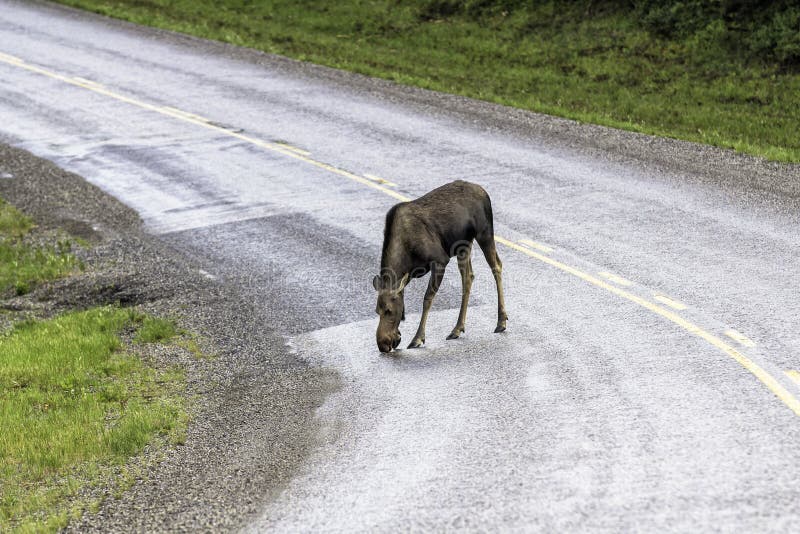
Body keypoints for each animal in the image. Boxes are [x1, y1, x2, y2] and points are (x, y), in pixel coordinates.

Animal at [372, 180, 507, 353]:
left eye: (389, 310)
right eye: (377, 310)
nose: (382, 345)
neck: (406, 257)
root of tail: (484, 192)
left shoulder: (440, 259)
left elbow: (427, 299)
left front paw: (417, 338)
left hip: (484, 233)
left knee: (497, 265)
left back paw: (501, 322)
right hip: (464, 245)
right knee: (468, 277)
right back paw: (457, 328)